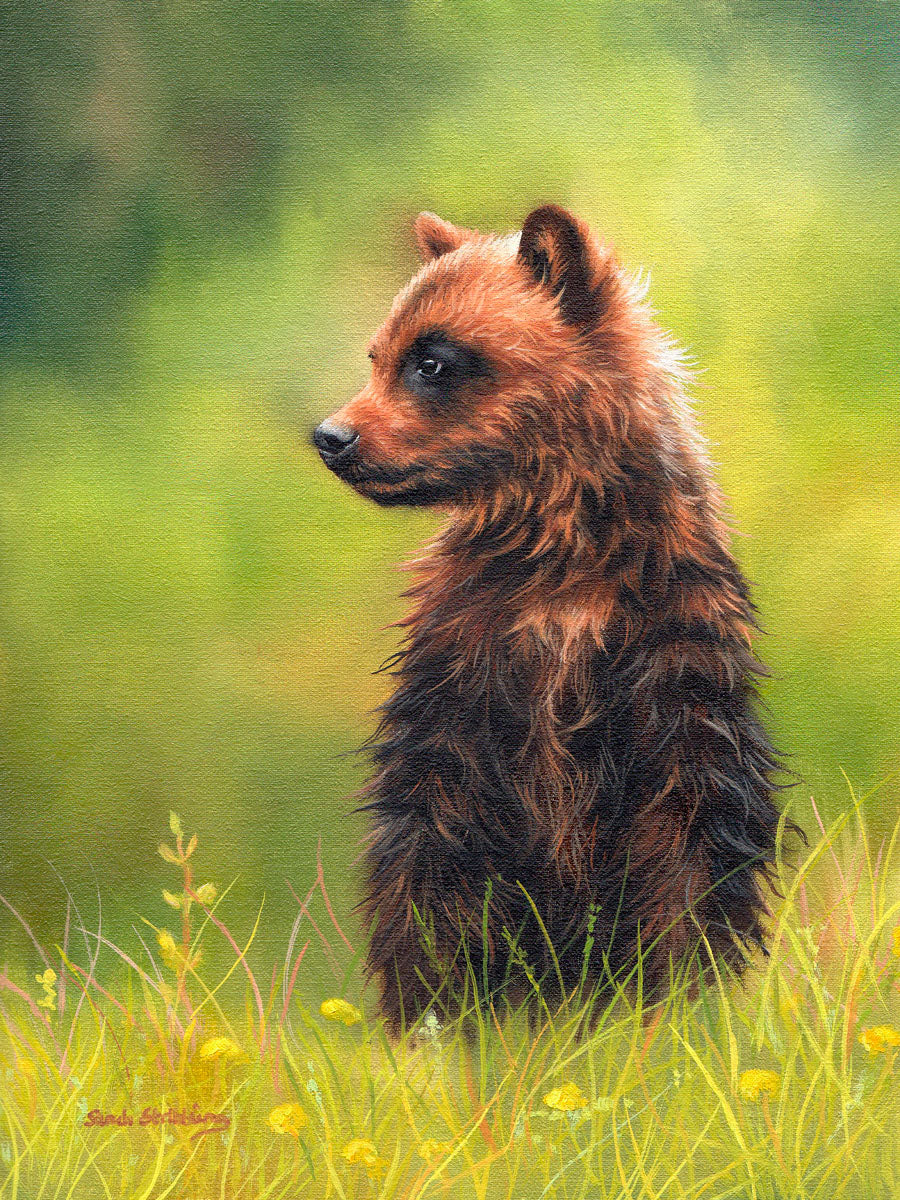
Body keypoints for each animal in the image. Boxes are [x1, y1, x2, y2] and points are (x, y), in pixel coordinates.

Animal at [313, 205, 796, 1035]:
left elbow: (691, 853)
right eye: (379, 352)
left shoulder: (669, 660)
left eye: (432, 360)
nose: (332, 437)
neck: (562, 549)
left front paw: (682, 1010)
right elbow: (432, 861)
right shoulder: (468, 665)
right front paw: (436, 1022)